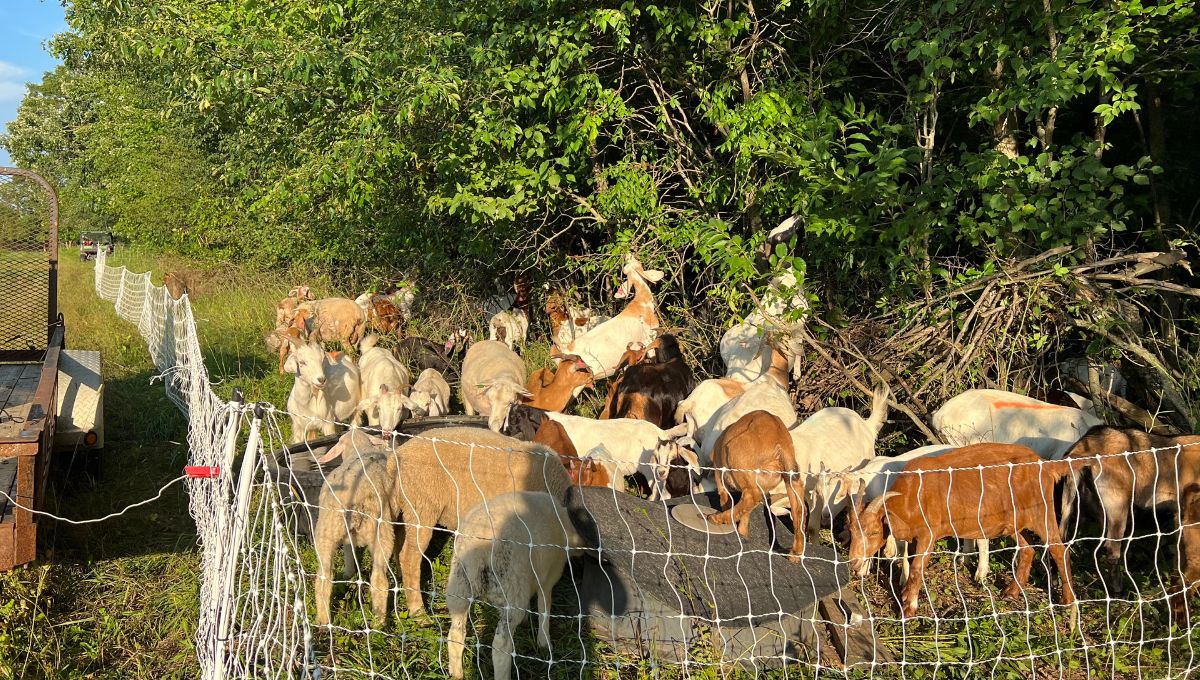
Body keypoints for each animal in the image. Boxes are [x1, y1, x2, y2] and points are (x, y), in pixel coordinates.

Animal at [847, 443, 1078, 630]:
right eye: (852, 530)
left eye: (874, 531)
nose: (854, 562)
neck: (913, 496)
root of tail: (1046, 466)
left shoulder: (928, 534)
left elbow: (916, 569)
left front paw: (909, 609)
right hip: (1011, 522)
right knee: (1027, 550)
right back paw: (1011, 592)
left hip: (1041, 511)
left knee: (1059, 549)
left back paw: (1067, 601)